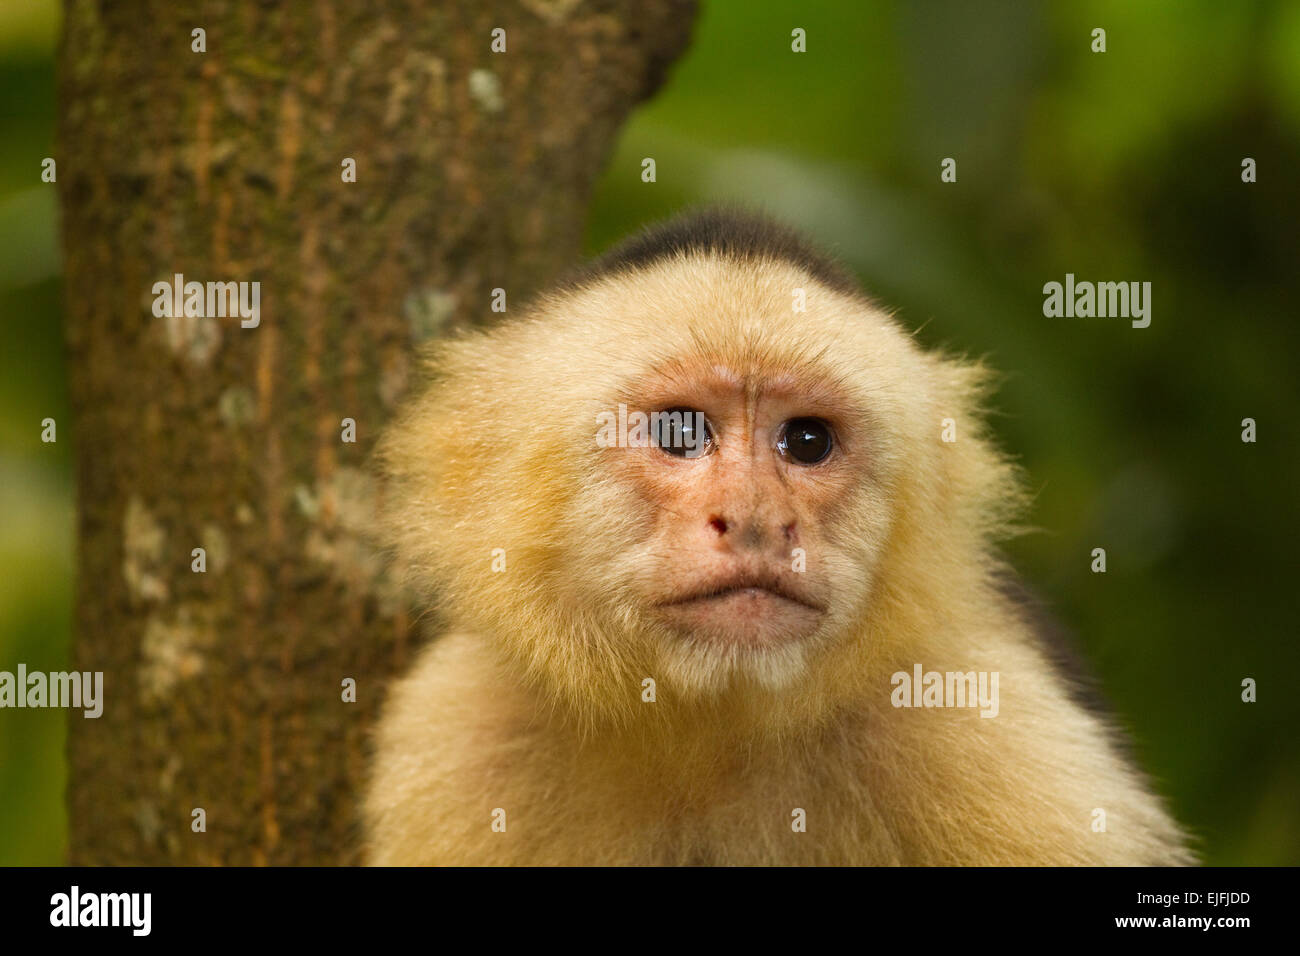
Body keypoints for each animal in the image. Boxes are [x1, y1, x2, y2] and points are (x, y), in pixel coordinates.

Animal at [364, 207, 1195, 866]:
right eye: (681, 432)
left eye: (807, 442)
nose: (758, 519)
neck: (705, 733)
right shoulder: (463, 744)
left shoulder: (996, 731)